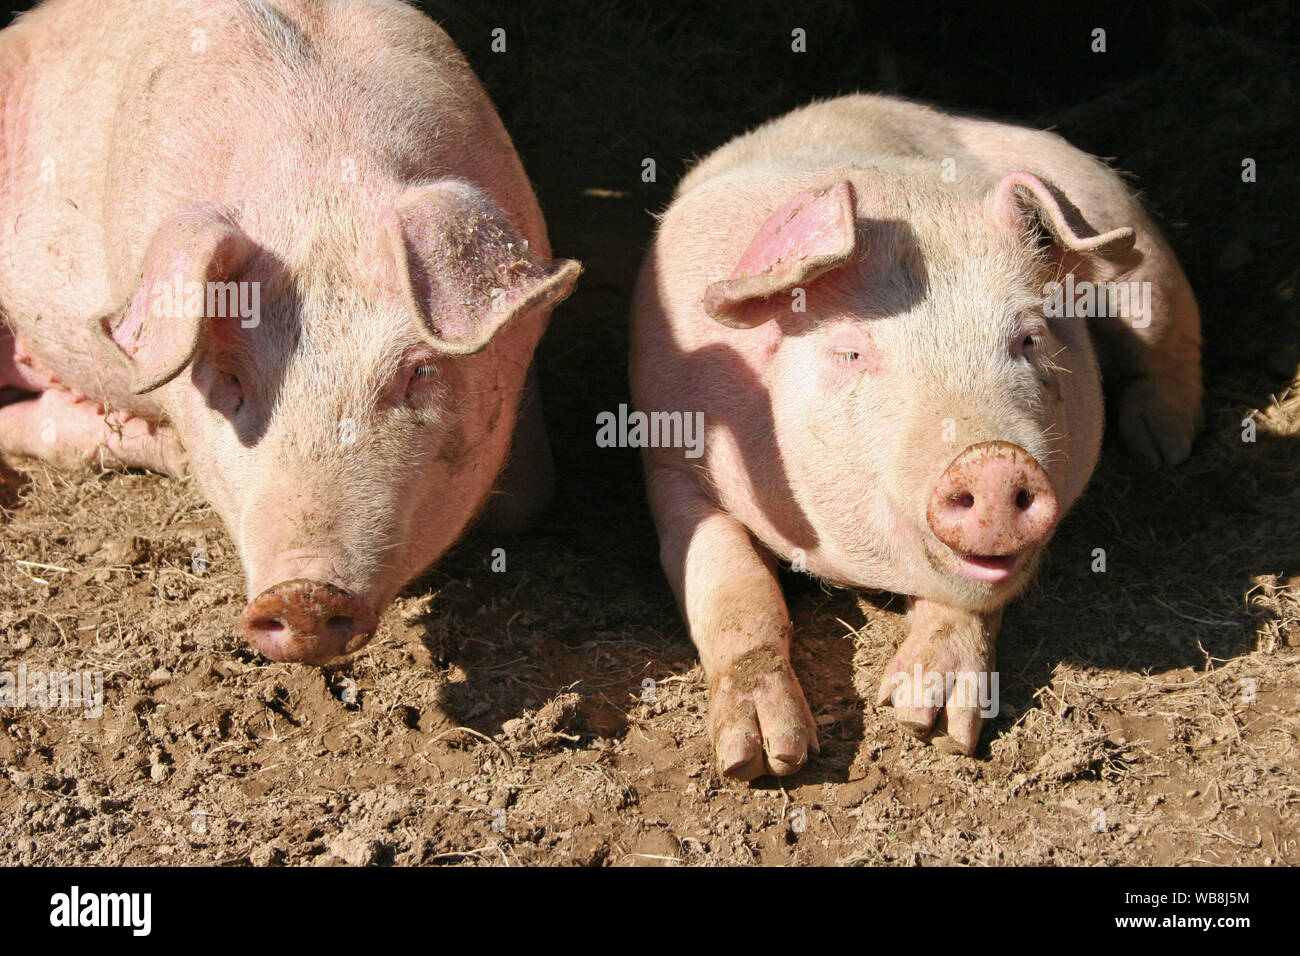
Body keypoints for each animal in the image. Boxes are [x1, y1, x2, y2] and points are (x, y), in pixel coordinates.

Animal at [631, 93, 1201, 778]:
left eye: (1030, 337)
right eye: (850, 352)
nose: (992, 460)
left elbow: (969, 600)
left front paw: (929, 725)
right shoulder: (670, 461)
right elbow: (735, 591)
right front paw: (767, 760)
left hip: (1131, 245)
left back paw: (1164, 447)